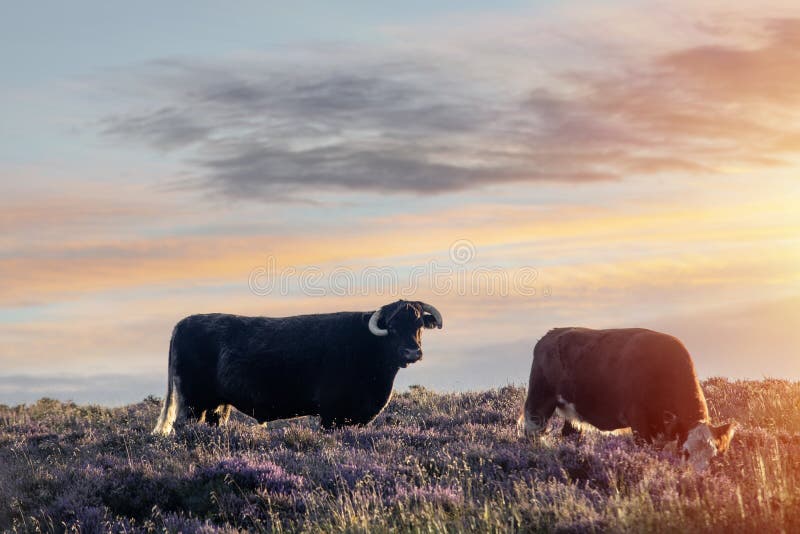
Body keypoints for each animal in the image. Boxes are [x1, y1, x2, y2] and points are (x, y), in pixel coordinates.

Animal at [152, 300, 443, 435]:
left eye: (419, 325)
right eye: (392, 327)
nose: (412, 351)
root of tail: (184, 322)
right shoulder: (331, 414)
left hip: (217, 406)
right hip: (193, 403)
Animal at [517, 327, 736, 471]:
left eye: (714, 456)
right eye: (685, 452)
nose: (698, 479)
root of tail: (549, 336)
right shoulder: (639, 421)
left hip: (572, 413)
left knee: (570, 435)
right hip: (539, 403)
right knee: (532, 435)